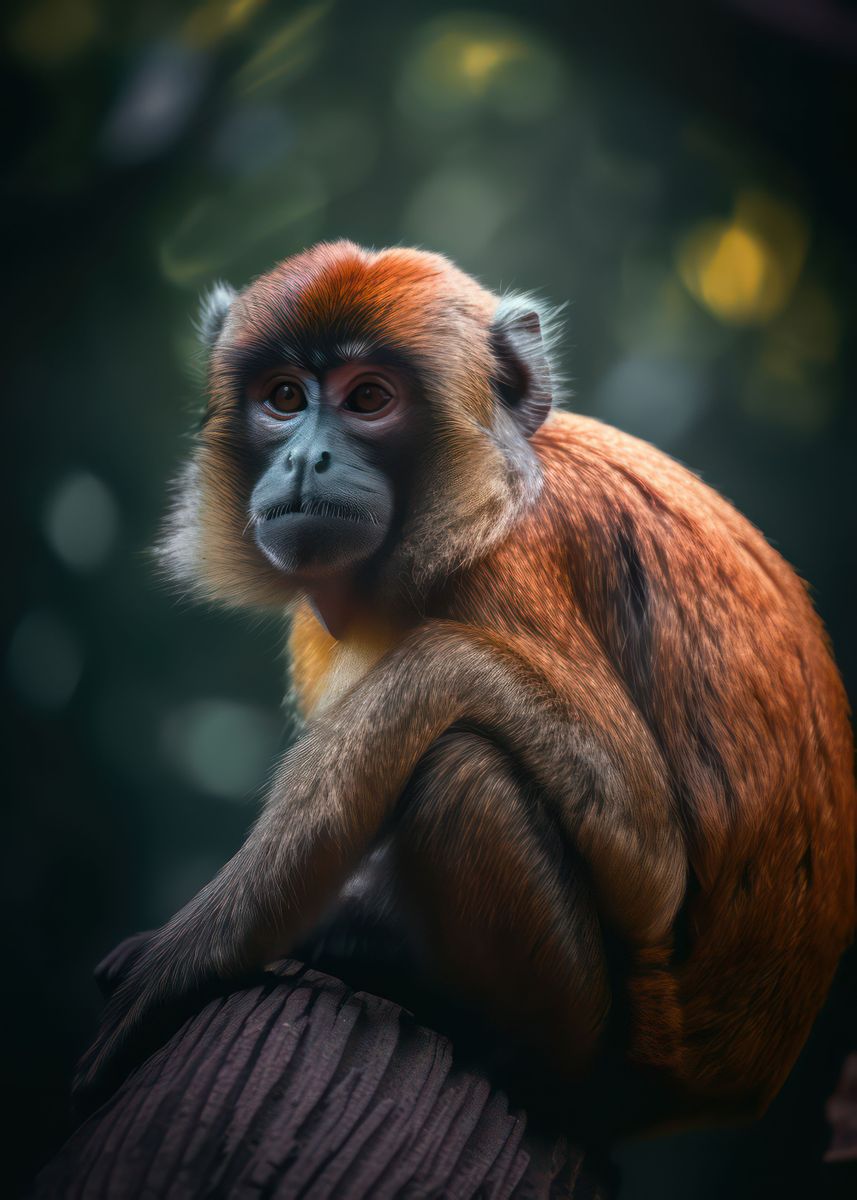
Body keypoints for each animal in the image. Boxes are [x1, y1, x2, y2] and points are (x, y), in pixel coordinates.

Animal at [73, 240, 856, 1130]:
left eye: (368, 399)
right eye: (284, 398)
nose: (306, 457)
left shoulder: (509, 567)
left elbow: (649, 858)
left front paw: (201, 948)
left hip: (615, 1031)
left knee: (464, 769)